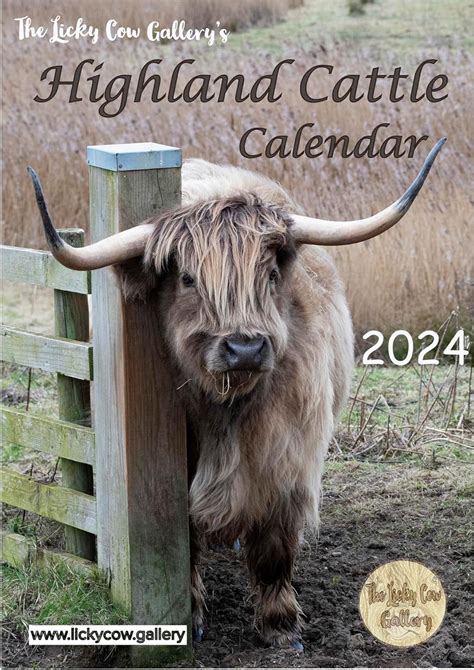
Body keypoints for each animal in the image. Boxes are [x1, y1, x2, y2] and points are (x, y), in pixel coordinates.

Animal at [27, 138, 444, 649]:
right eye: (187, 279)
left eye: (270, 275)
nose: (244, 347)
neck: (225, 411)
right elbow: (184, 544)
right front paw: (193, 616)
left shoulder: (289, 462)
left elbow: (275, 547)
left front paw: (282, 627)